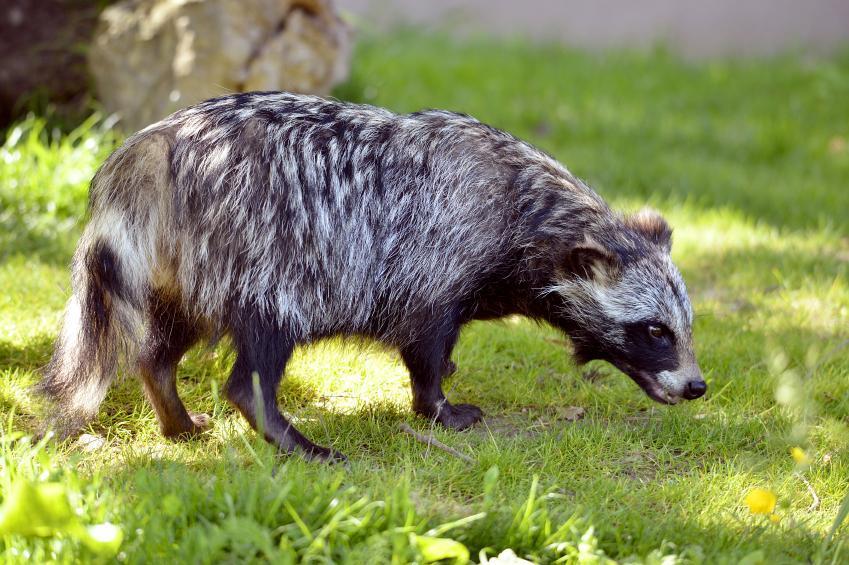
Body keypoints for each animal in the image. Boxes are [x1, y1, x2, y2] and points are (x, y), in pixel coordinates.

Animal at [37, 92, 705, 462]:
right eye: (655, 331)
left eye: (685, 326)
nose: (697, 385)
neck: (525, 210)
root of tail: (145, 158)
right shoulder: (436, 255)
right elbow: (426, 341)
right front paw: (441, 407)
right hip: (259, 252)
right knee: (256, 356)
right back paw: (296, 441)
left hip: (177, 269)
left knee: (160, 346)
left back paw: (176, 418)